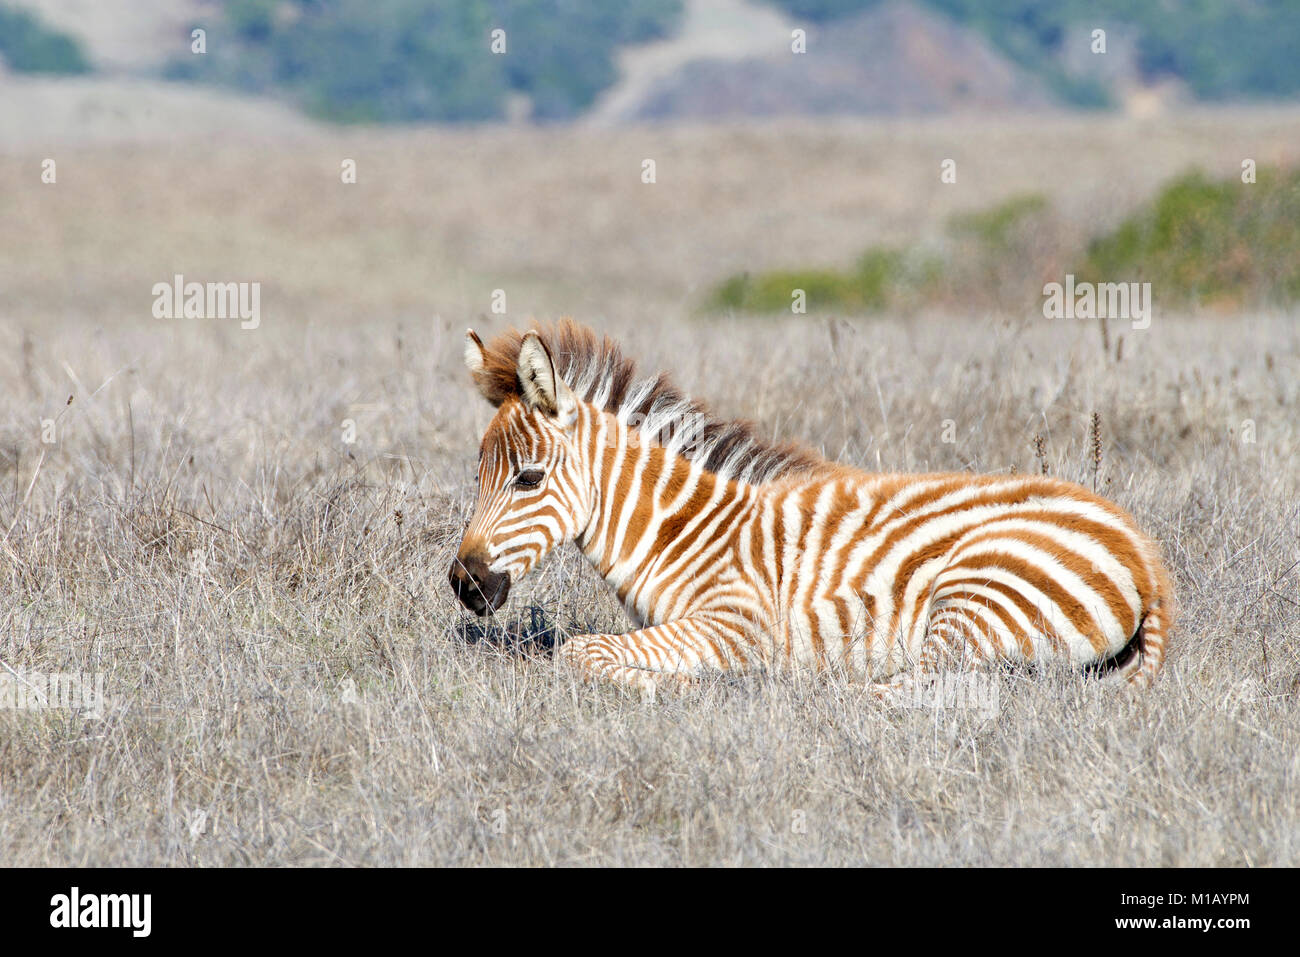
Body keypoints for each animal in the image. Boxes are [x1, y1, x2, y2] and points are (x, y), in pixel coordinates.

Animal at [449, 320, 1174, 698]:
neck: (683, 531)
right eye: (478, 476)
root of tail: (1146, 555)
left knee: (928, 687)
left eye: (528, 479)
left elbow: (581, 652)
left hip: (980, 590)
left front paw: (697, 684)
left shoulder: (737, 620)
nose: (463, 584)